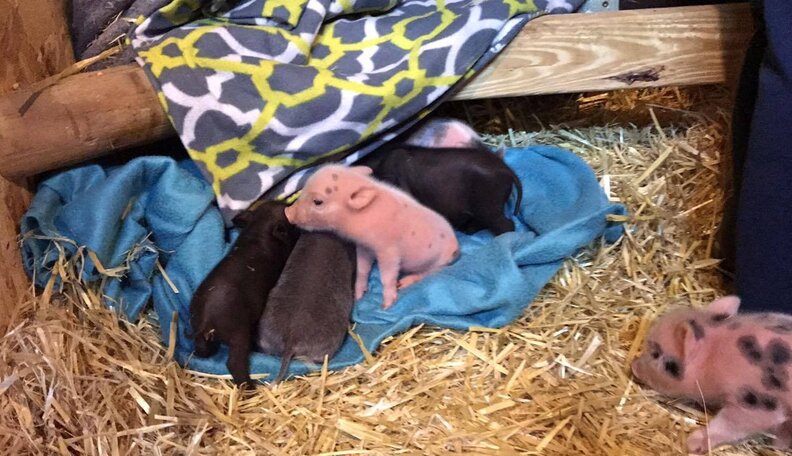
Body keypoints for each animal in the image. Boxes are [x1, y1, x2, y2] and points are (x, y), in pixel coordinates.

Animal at [189, 200, 299, 386]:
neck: (258, 230)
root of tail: (206, 321)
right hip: (238, 332)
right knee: (234, 362)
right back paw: (250, 387)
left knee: (203, 348)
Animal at [284, 164, 459, 310]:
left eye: (318, 201)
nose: (287, 212)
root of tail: (457, 248)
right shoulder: (364, 246)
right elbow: (362, 269)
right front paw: (358, 296)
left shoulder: (388, 251)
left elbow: (387, 277)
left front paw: (386, 306)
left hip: (439, 263)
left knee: (426, 274)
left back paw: (403, 283)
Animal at [631, 295, 792, 454]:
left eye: (656, 354)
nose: (633, 365)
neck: (715, 355)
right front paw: (779, 445)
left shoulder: (756, 401)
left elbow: (733, 423)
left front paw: (691, 444)